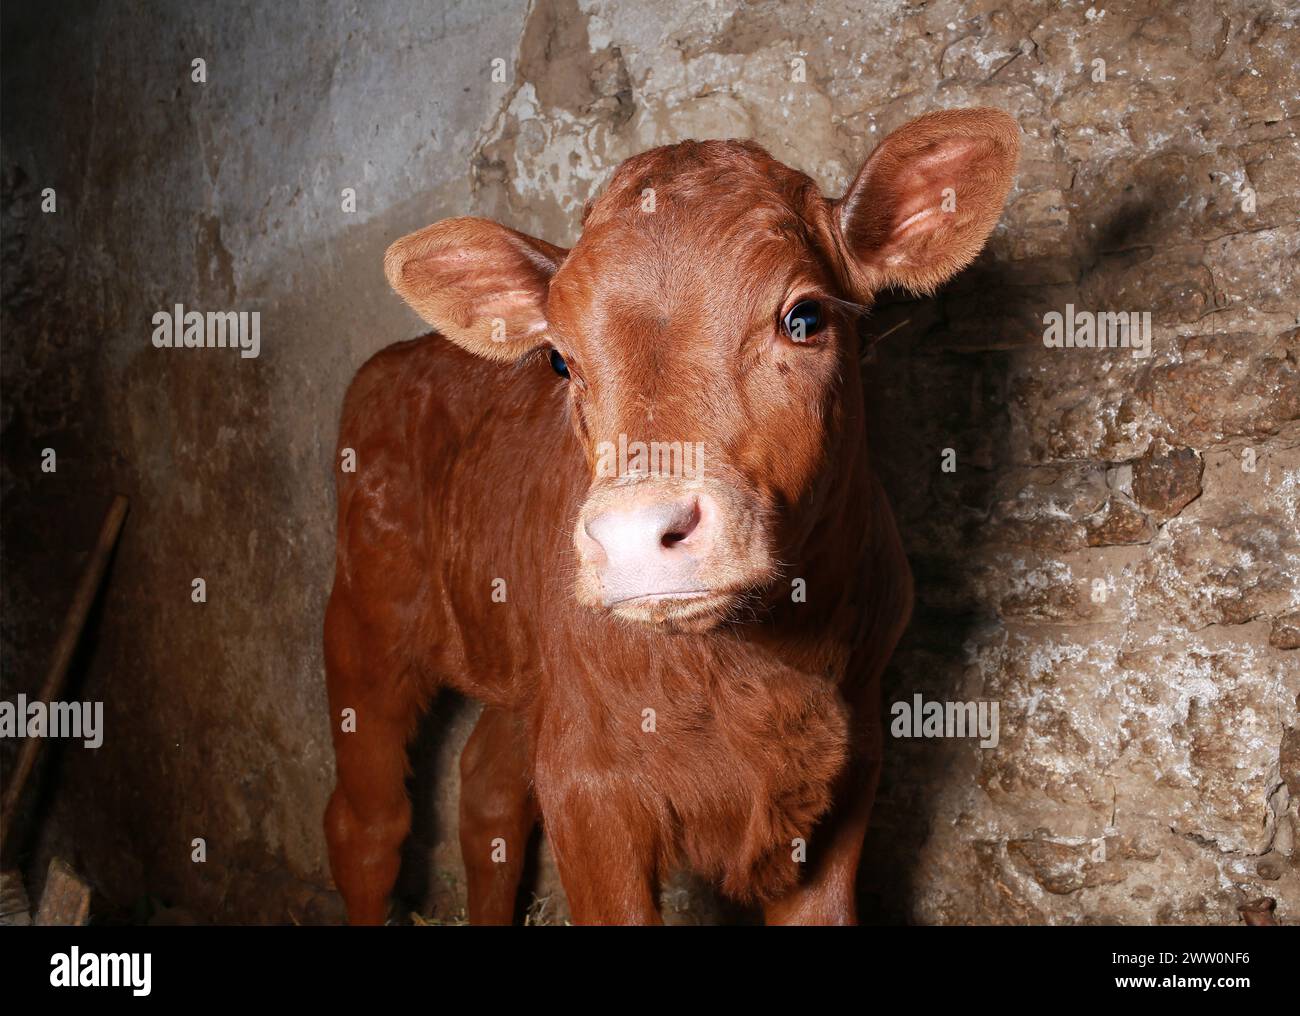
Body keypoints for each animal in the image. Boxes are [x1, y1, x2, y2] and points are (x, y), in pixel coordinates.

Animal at [323, 108, 1019, 924]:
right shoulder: (587, 781)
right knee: (369, 824)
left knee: (488, 790)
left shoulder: (847, 766)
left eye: (804, 317)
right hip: (366, 623)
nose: (632, 535)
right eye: (559, 359)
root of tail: (400, 356)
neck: (758, 665)